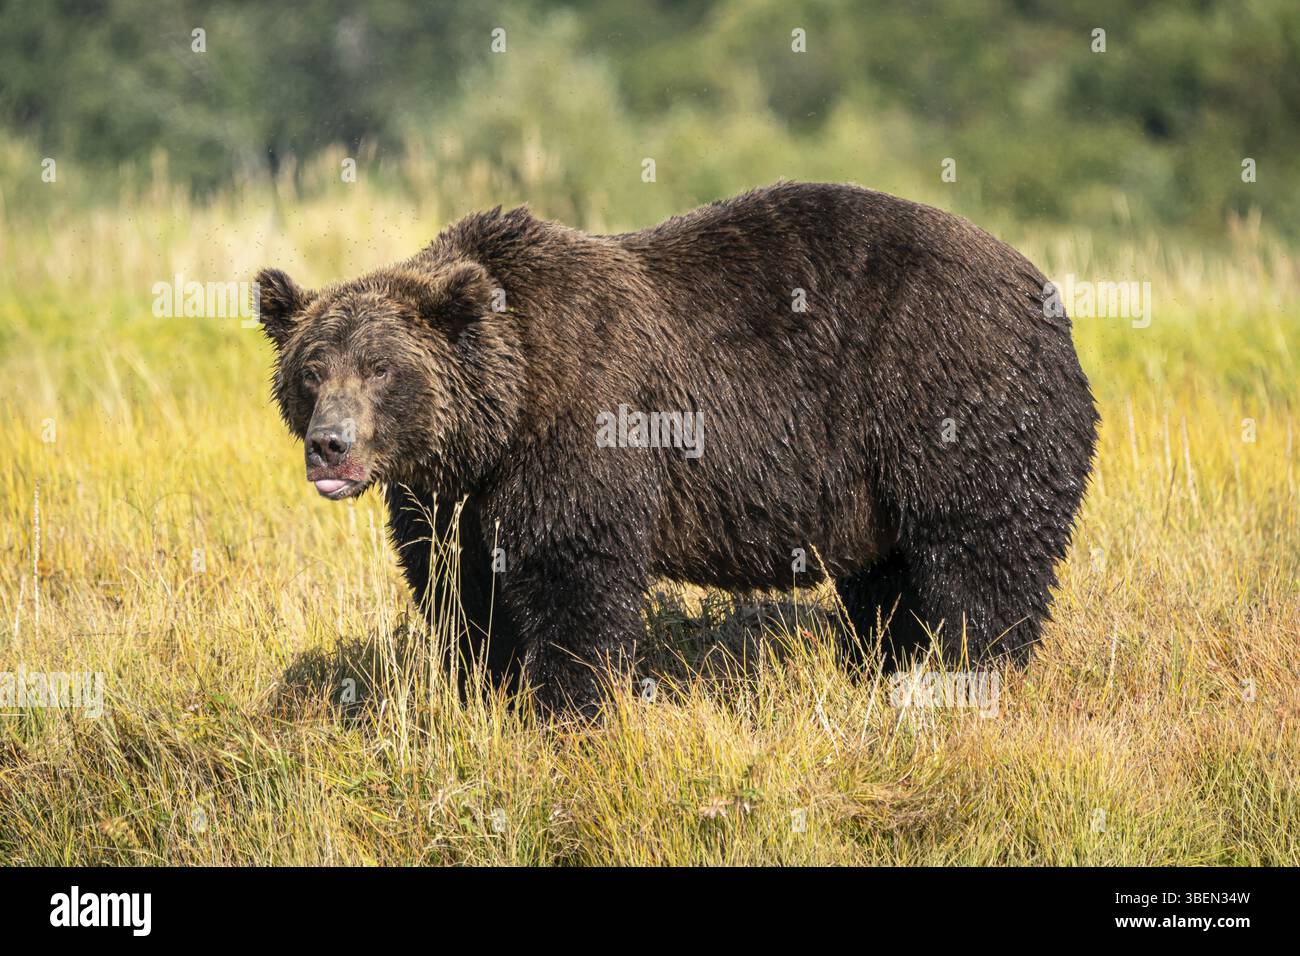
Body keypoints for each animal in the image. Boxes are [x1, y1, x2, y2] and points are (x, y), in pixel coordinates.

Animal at [255, 181, 1098, 714]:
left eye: (380, 368)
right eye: (311, 369)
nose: (331, 446)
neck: (504, 414)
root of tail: (1045, 292)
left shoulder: (584, 430)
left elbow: (574, 580)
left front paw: (570, 704)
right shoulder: (452, 492)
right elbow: (462, 588)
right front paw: (486, 689)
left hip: (952, 403)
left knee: (979, 562)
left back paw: (965, 674)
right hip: (874, 485)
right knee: (887, 582)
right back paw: (888, 666)